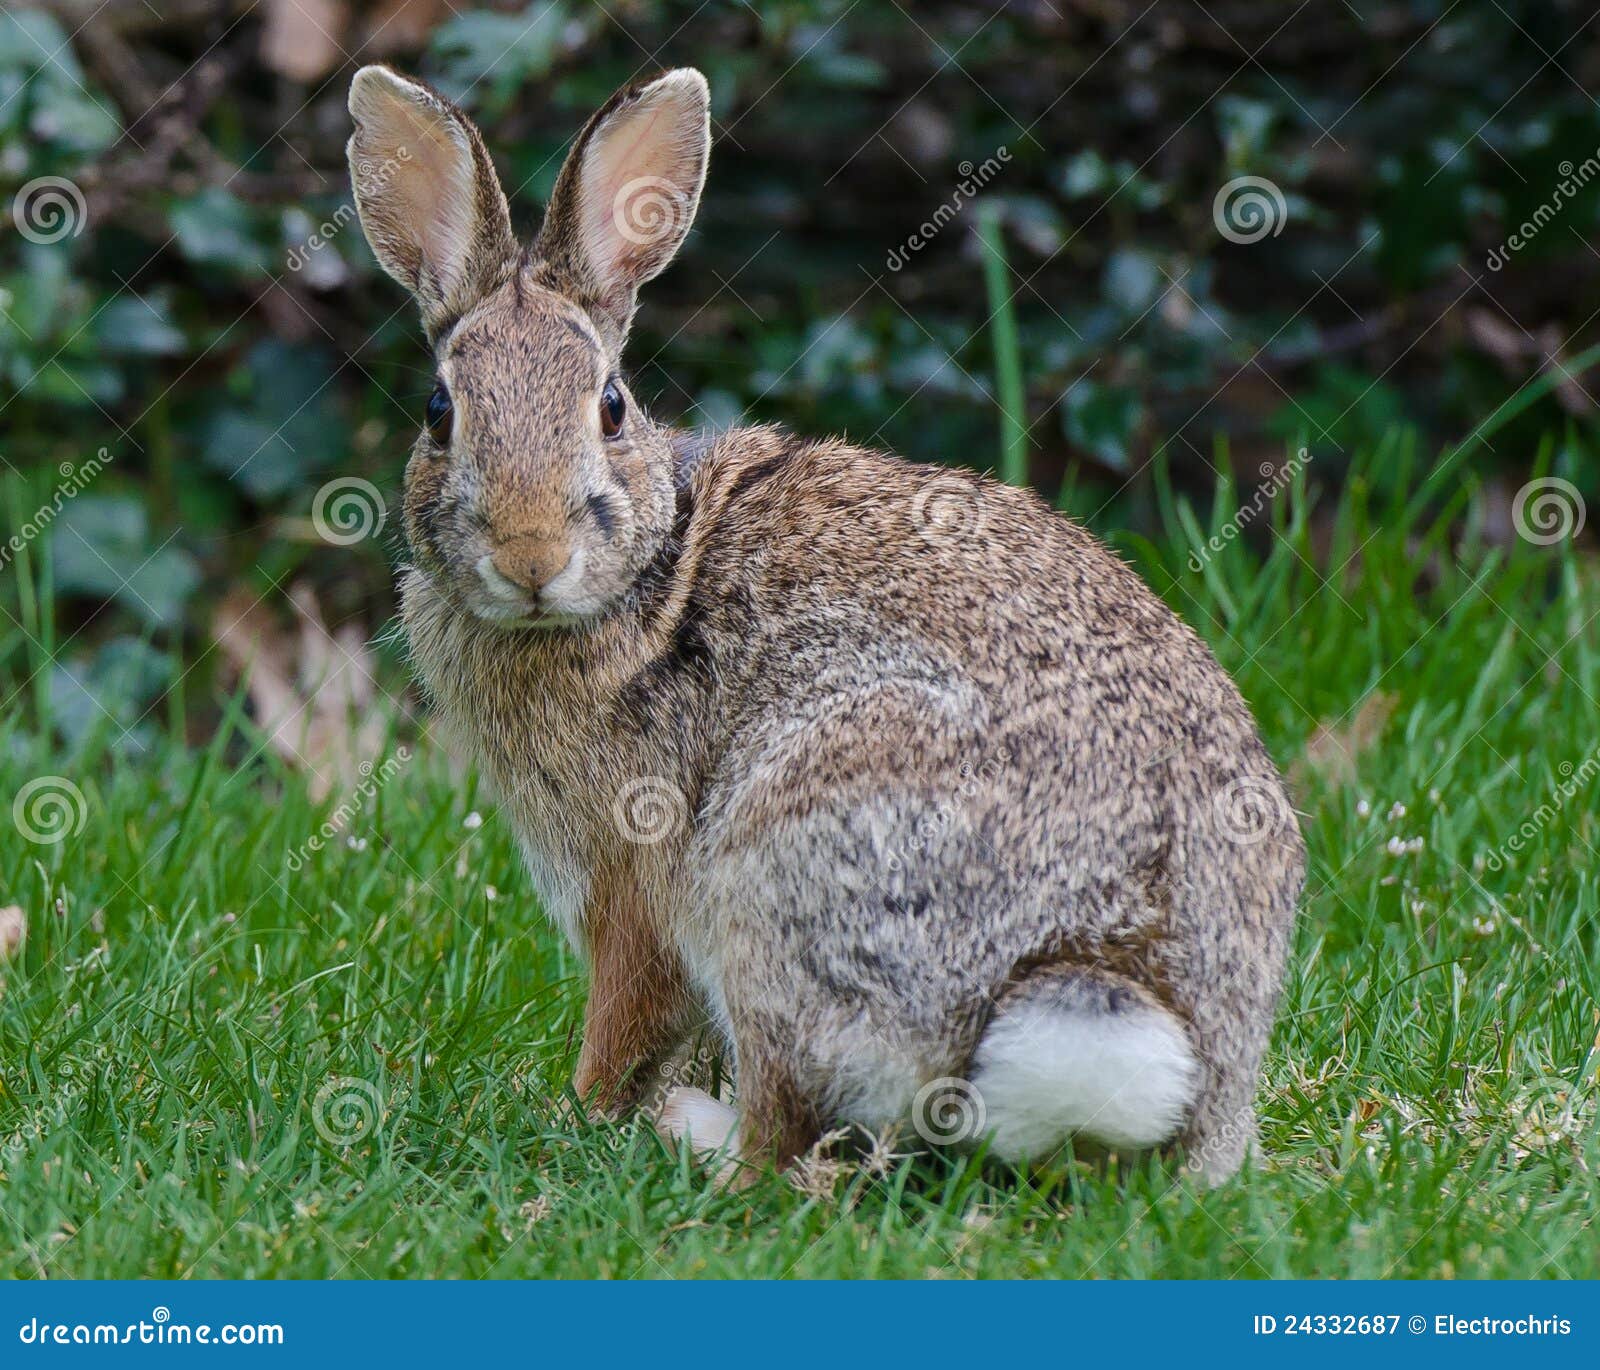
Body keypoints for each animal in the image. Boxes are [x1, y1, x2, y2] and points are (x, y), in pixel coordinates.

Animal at [346, 63, 1305, 1186]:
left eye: (612, 406)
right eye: (439, 412)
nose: (531, 555)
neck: (646, 576)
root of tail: (1113, 981)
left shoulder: (632, 872)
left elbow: (628, 1010)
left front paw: (574, 1110)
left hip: (775, 869)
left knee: (781, 1137)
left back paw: (696, 1140)